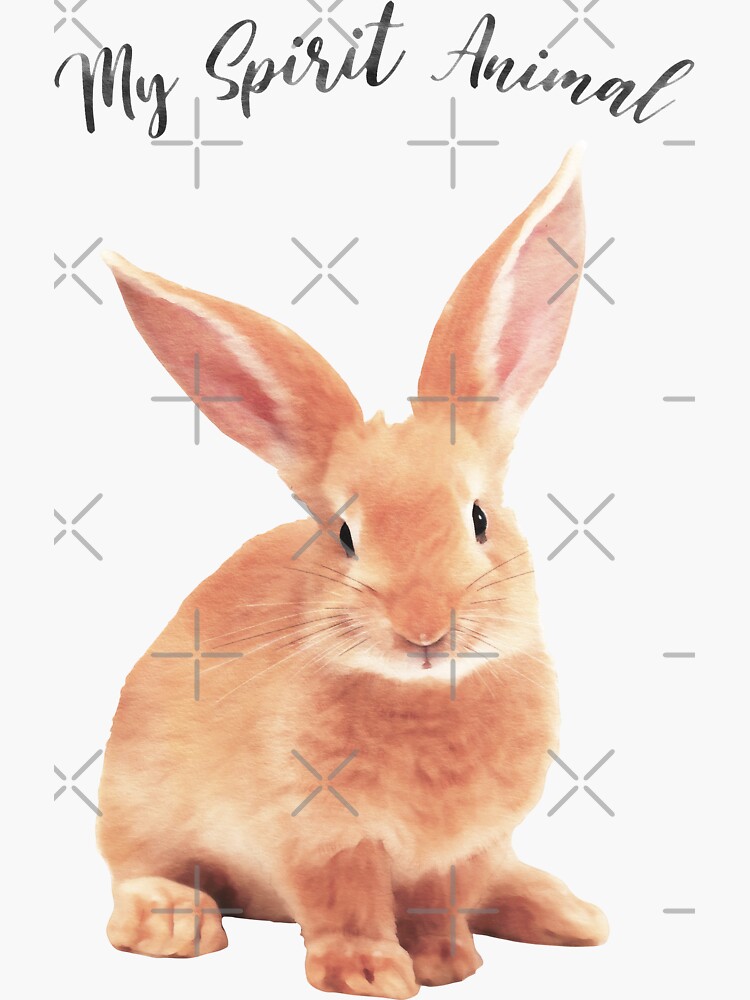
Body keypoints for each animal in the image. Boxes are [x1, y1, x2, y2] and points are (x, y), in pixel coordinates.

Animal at [99, 145, 607, 998]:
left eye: (478, 519)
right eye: (344, 534)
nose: (424, 629)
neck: (427, 700)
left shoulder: (462, 852)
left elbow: (443, 900)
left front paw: (445, 965)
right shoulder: (321, 838)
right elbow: (347, 903)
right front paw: (372, 974)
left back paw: (569, 914)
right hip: (140, 809)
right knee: (137, 875)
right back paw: (175, 922)